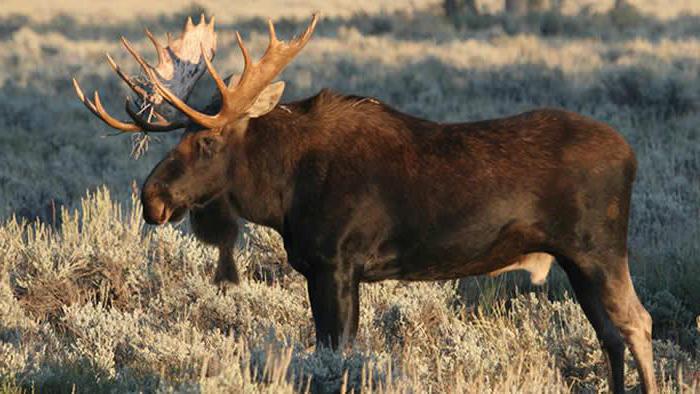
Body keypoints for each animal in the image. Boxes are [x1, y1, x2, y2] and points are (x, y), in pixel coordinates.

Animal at [74, 13, 660, 392]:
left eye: (208, 140)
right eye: (178, 137)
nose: (152, 198)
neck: (281, 194)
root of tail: (631, 153)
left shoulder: (336, 263)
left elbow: (336, 353)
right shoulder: (326, 268)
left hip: (598, 249)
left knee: (638, 322)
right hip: (574, 260)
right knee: (611, 333)